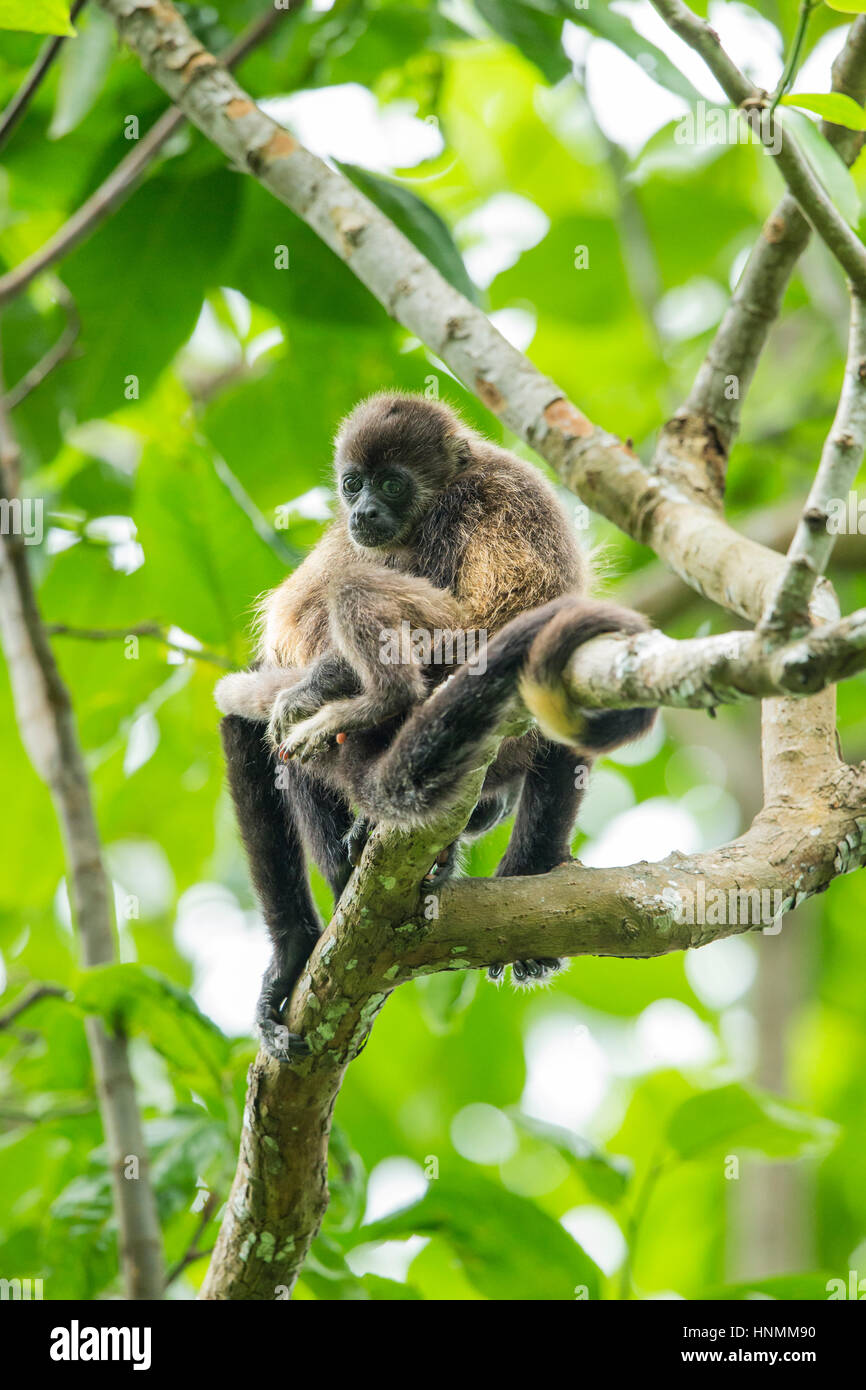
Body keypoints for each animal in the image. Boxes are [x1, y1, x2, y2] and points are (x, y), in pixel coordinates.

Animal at [216, 393, 656, 1060]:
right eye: (353, 483)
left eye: (393, 484)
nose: (365, 510)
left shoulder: (504, 495)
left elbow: (498, 610)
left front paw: (323, 682)